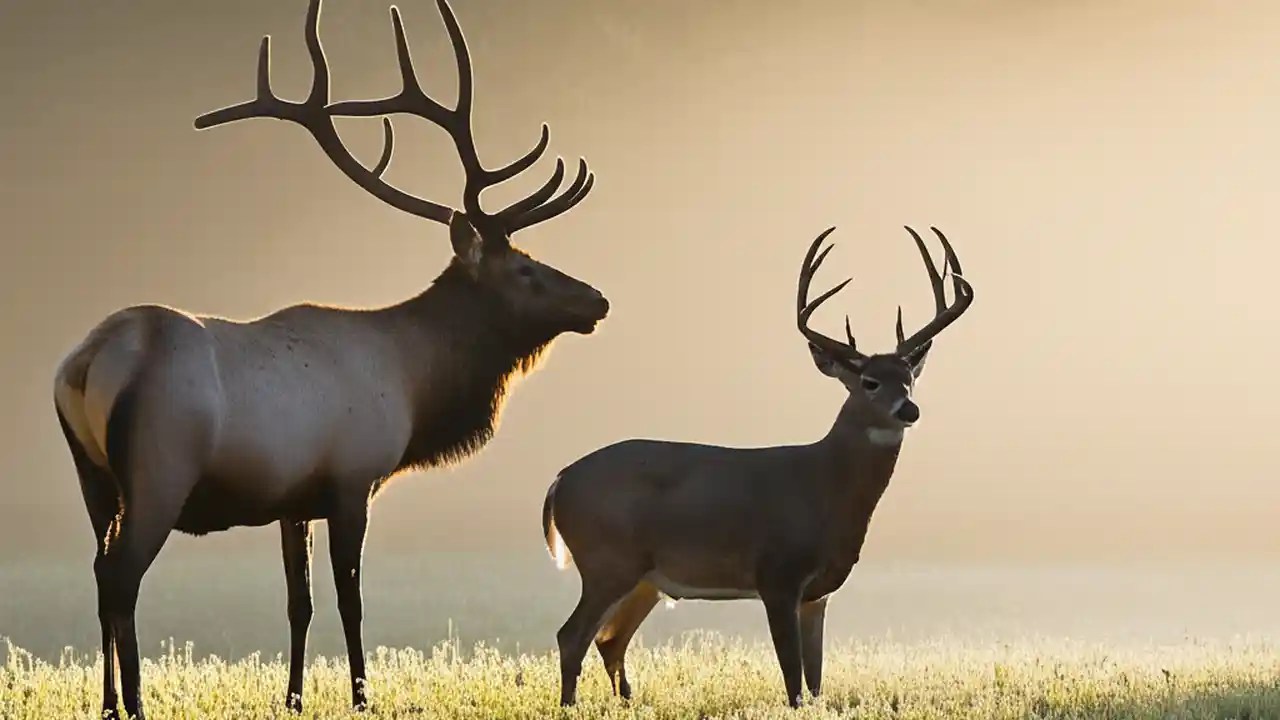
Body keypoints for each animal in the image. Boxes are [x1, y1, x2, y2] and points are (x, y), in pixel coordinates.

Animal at [51, 1, 608, 717]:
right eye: (526, 271)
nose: (597, 299)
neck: (414, 383)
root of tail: (87, 363)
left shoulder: (294, 499)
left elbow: (300, 603)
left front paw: (292, 697)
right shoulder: (352, 478)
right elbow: (350, 600)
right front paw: (361, 696)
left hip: (93, 476)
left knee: (97, 570)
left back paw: (108, 703)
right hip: (158, 469)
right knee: (121, 577)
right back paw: (137, 704)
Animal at [541, 225, 974, 708]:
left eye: (910, 377)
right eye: (870, 381)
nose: (908, 409)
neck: (824, 487)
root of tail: (559, 480)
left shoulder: (818, 594)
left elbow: (816, 681)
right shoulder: (777, 575)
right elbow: (793, 680)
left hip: (643, 578)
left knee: (609, 640)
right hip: (606, 560)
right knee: (572, 636)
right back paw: (569, 705)